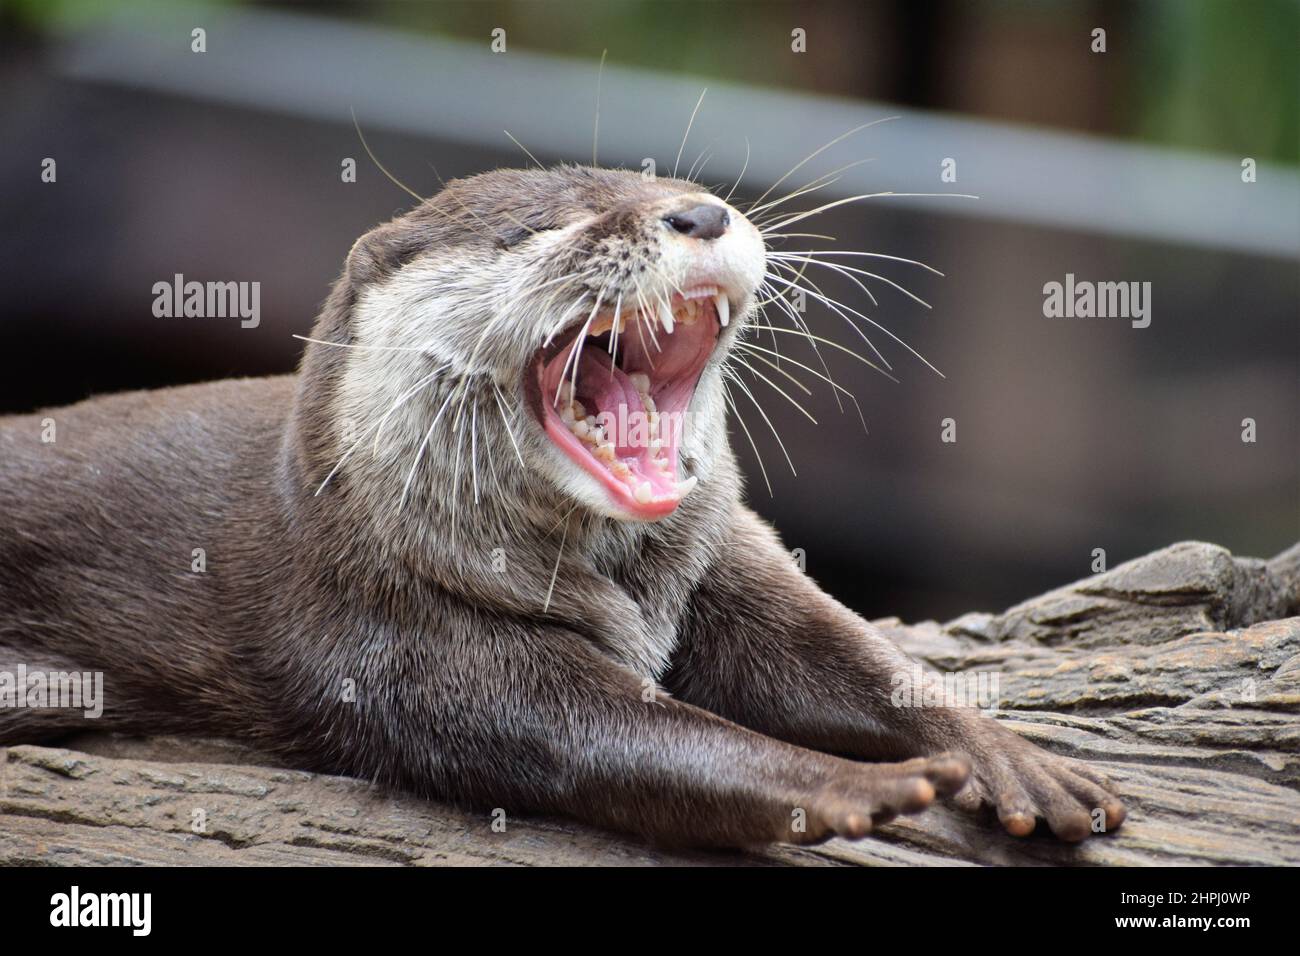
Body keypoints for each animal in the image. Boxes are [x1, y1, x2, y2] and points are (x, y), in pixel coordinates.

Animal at [0, 165, 1124, 847]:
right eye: (540, 227)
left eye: (676, 185)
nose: (703, 214)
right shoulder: (395, 642)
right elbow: (620, 738)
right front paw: (849, 786)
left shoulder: (725, 559)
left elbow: (850, 654)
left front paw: (1015, 761)